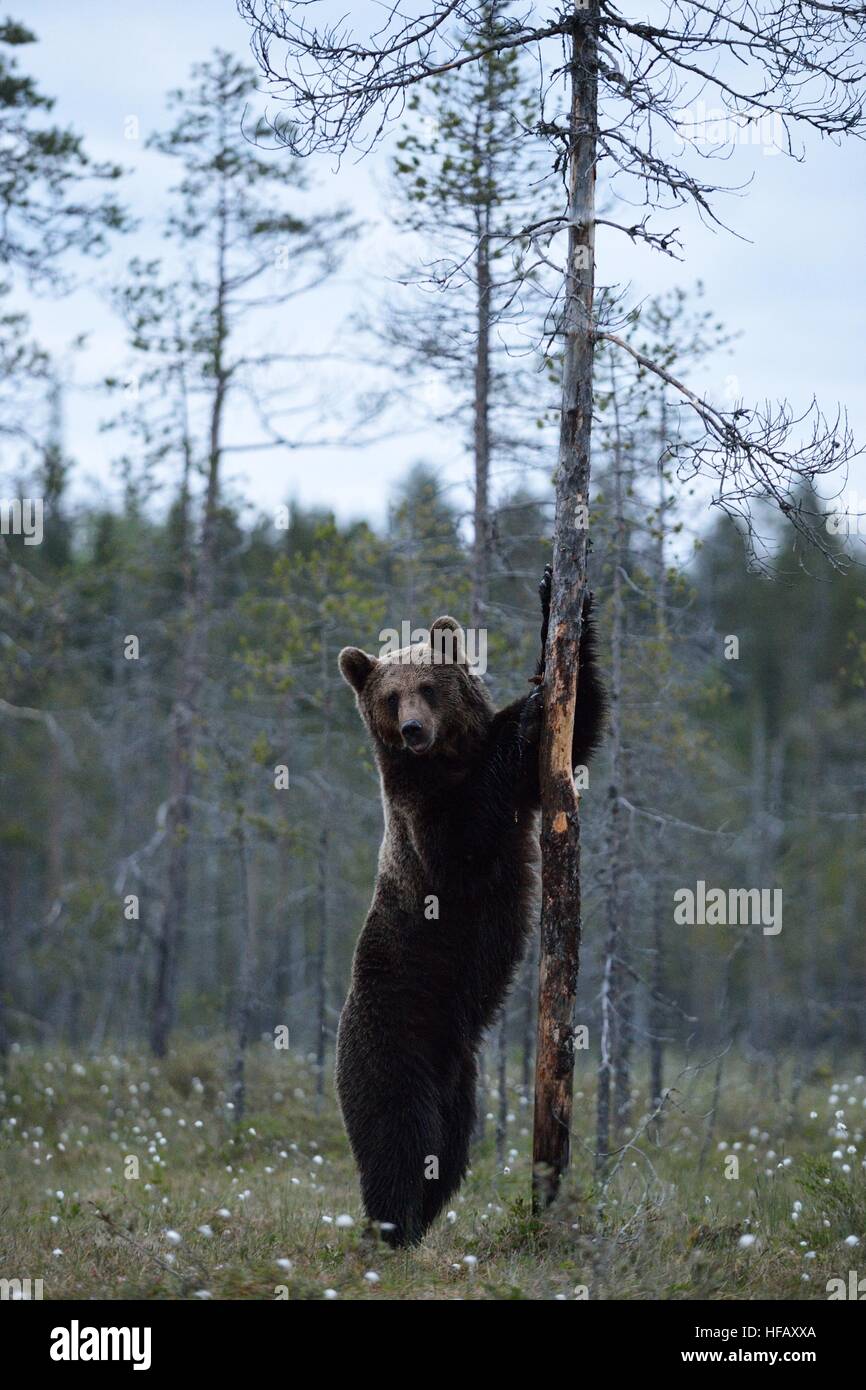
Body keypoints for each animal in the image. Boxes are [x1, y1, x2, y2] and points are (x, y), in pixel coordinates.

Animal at [335, 567, 605, 1247]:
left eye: (428, 686)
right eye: (391, 696)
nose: (412, 730)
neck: (445, 759)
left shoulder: (525, 784)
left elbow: (580, 728)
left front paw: (560, 605)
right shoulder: (424, 824)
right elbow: (465, 835)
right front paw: (527, 707)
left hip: (459, 1080)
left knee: (448, 1151)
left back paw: (419, 1219)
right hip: (391, 1035)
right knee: (397, 1136)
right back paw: (392, 1224)